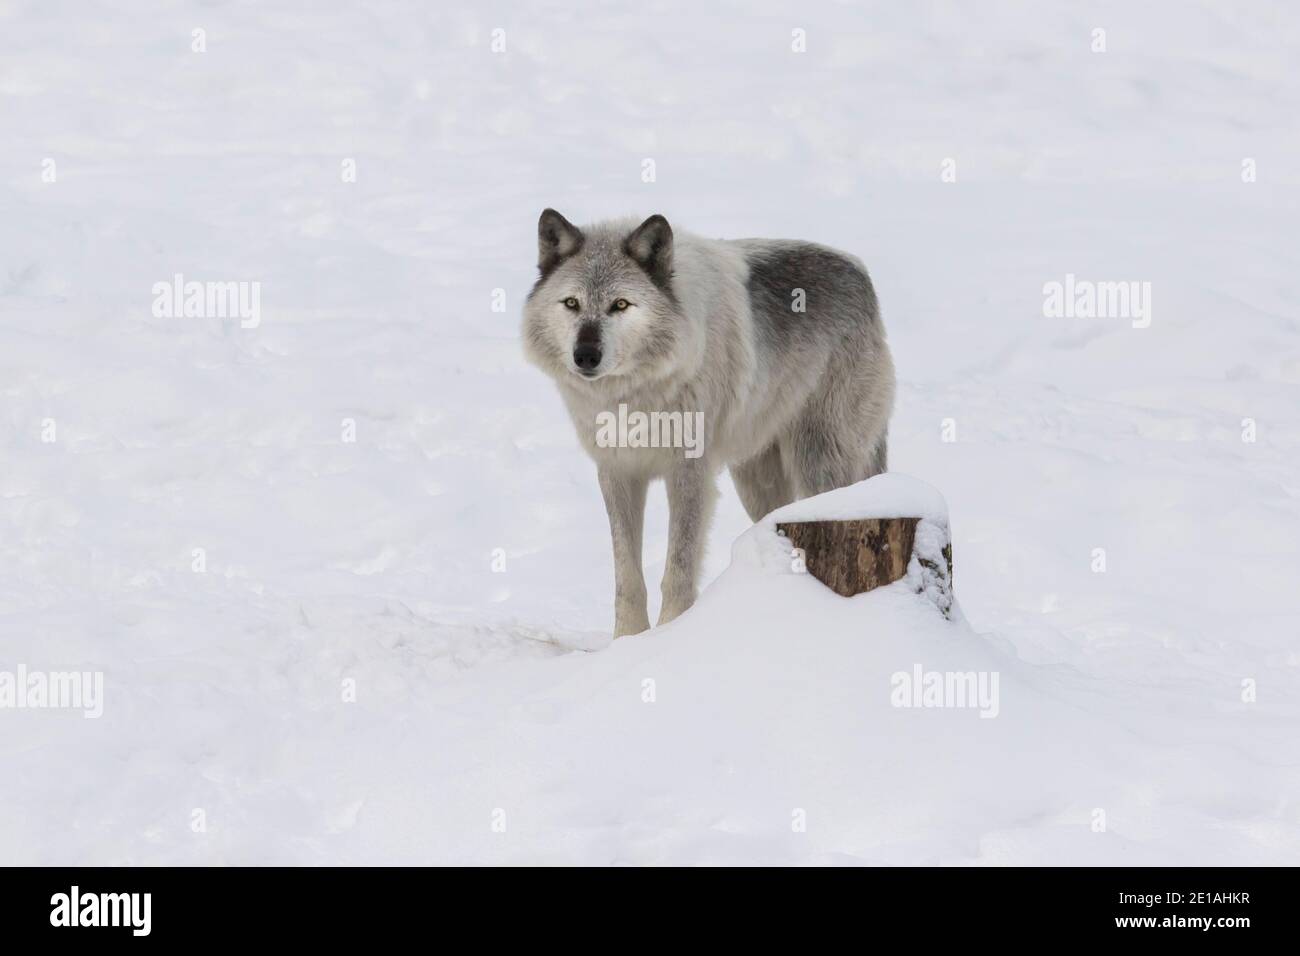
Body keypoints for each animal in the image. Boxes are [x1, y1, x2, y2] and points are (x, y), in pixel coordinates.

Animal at [523, 210, 895, 638]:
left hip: (817, 464)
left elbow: (679, 568)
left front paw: (671, 633)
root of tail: (860, 272)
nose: (585, 355)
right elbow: (626, 577)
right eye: (571, 303)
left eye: (620, 305)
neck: (635, 395)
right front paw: (627, 641)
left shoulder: (688, 473)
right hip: (755, 483)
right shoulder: (617, 473)